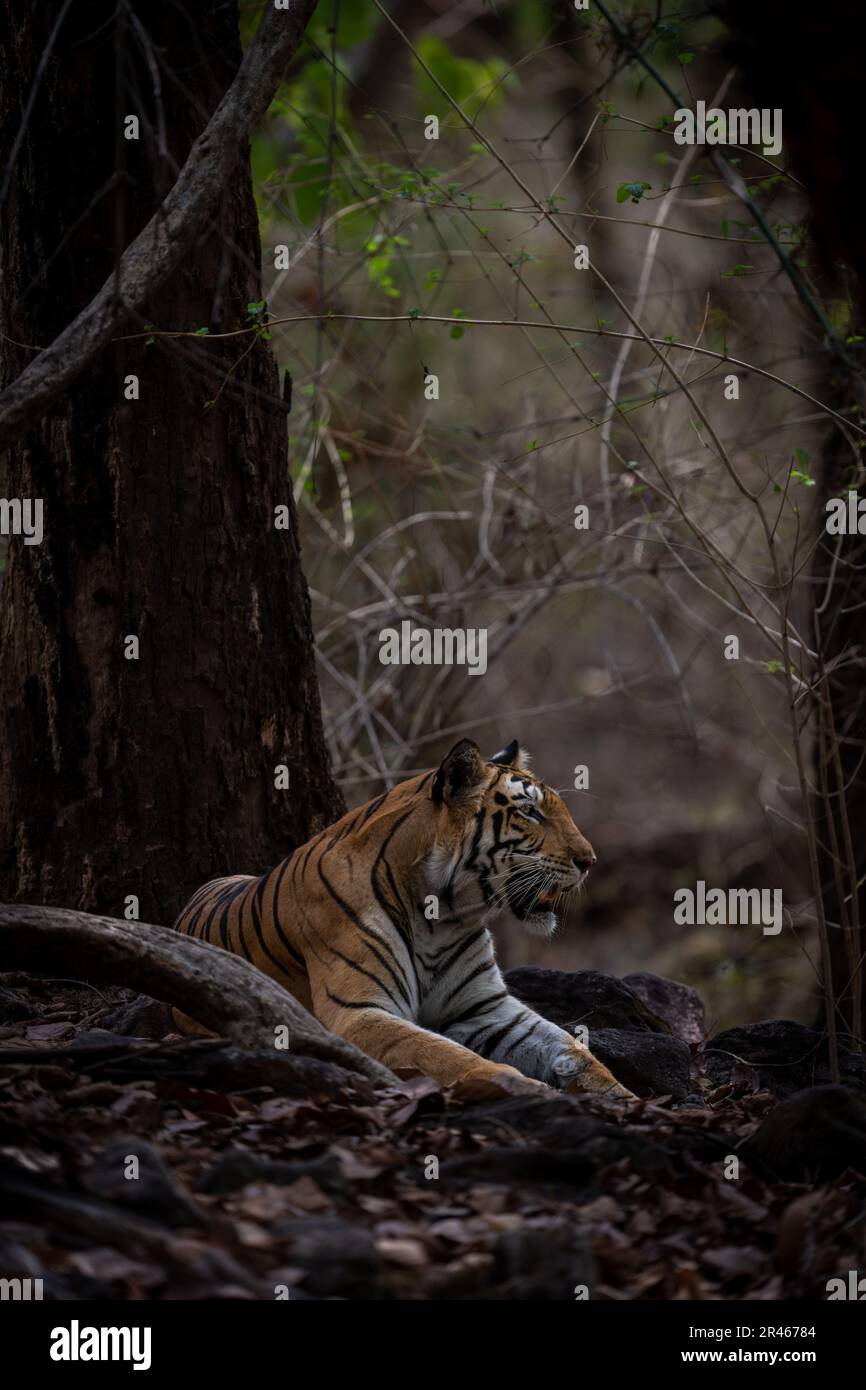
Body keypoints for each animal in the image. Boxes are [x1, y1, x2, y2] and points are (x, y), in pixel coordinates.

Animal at [173, 738, 633, 1100]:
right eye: (530, 813)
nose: (590, 861)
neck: (443, 917)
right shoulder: (359, 1012)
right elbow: (442, 1053)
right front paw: (519, 1085)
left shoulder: (484, 1007)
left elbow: (572, 1048)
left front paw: (624, 1097)